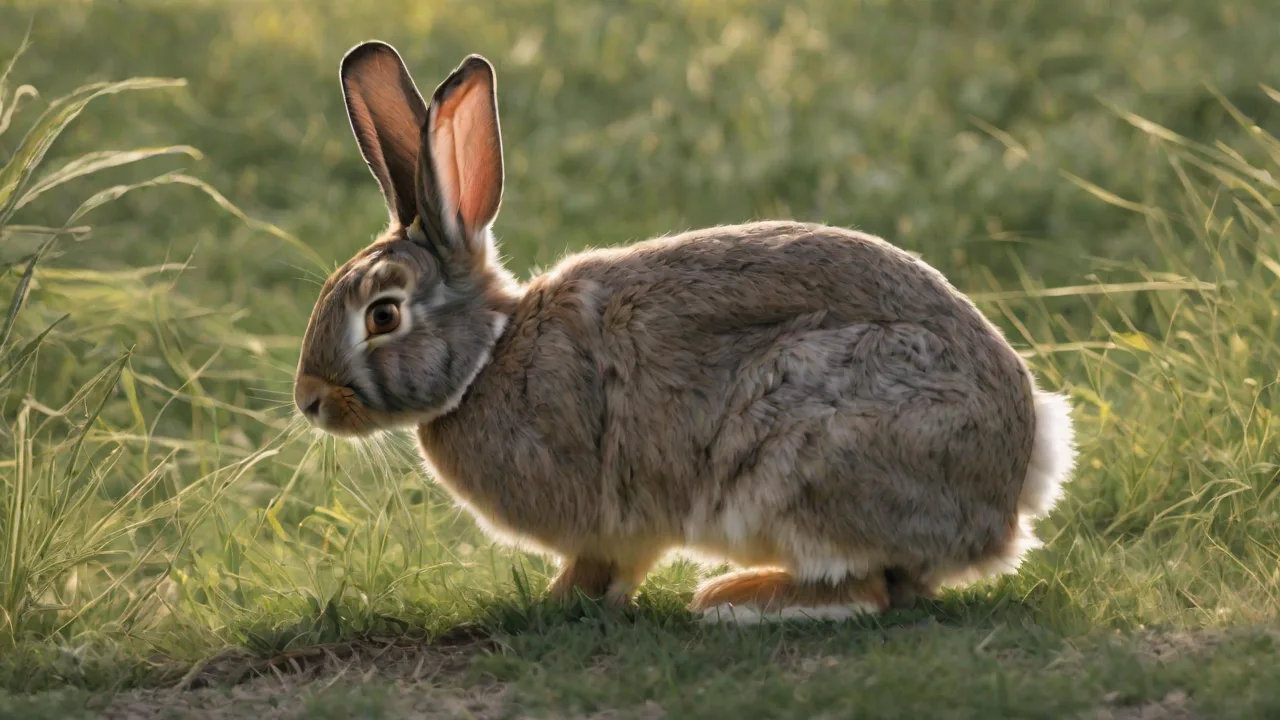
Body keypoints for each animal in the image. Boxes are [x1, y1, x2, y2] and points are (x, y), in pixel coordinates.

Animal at [293, 41, 1077, 623]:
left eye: (383, 314)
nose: (309, 401)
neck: (488, 357)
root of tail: (1011, 486)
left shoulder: (611, 514)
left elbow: (601, 565)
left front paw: (554, 603)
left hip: (804, 446)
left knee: (868, 589)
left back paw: (738, 598)